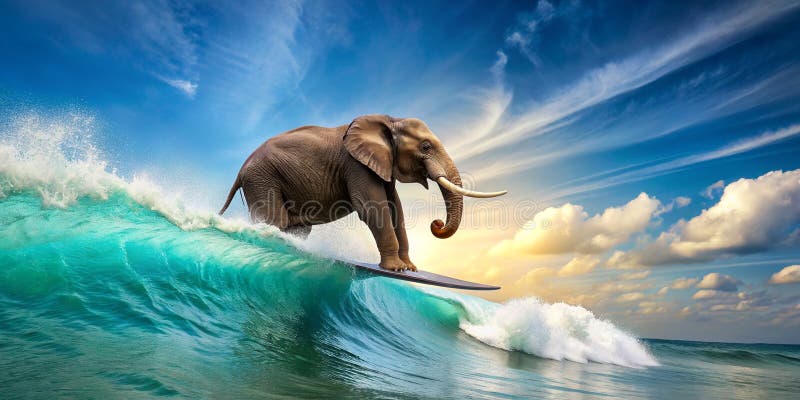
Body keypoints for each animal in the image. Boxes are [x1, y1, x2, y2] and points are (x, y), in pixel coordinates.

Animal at [218, 114, 506, 271]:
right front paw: (397, 268)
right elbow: (373, 209)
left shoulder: (382, 164)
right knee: (275, 221)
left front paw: (410, 269)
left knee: (298, 227)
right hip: (262, 178)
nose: (436, 224)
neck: (391, 119)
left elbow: (396, 209)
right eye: (425, 147)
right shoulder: (355, 164)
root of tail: (240, 170)